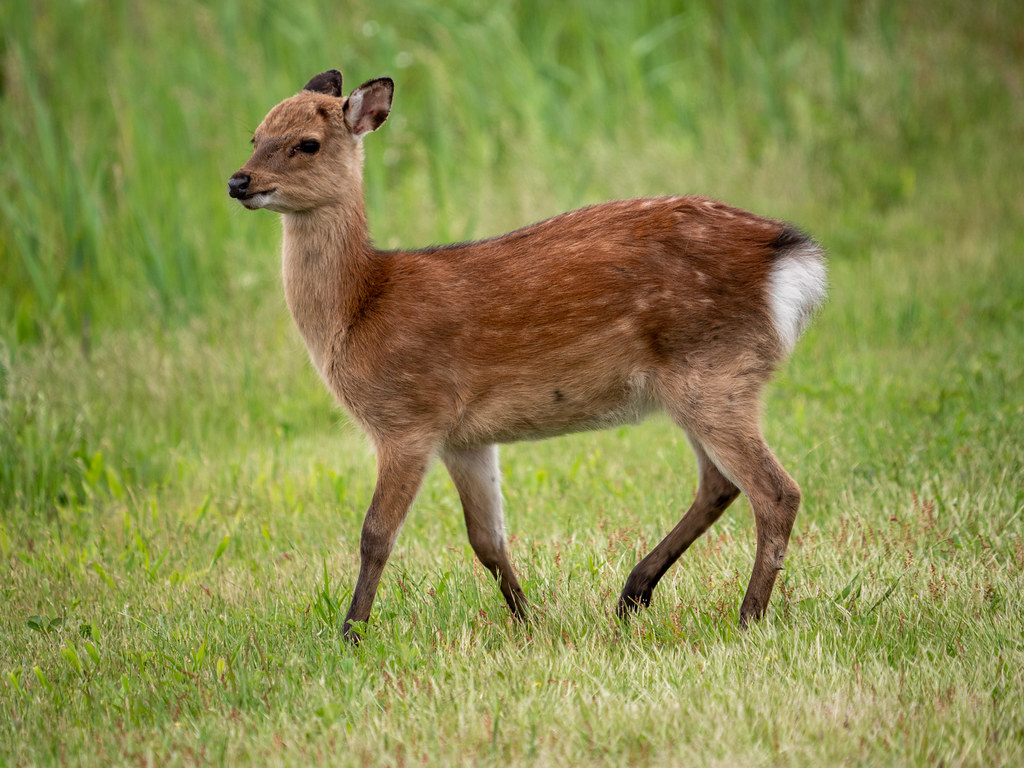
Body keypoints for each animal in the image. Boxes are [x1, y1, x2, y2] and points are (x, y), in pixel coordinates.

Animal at [228, 69, 826, 642]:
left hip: (714, 373)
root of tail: (793, 261)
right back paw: (632, 595)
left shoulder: (408, 418)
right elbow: (486, 540)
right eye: (255, 135)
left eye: (306, 143)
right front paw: (529, 622)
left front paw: (350, 634)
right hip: (702, 384)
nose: (238, 181)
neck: (360, 307)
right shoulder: (464, 438)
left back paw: (746, 618)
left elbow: (375, 533)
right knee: (720, 483)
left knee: (776, 491)